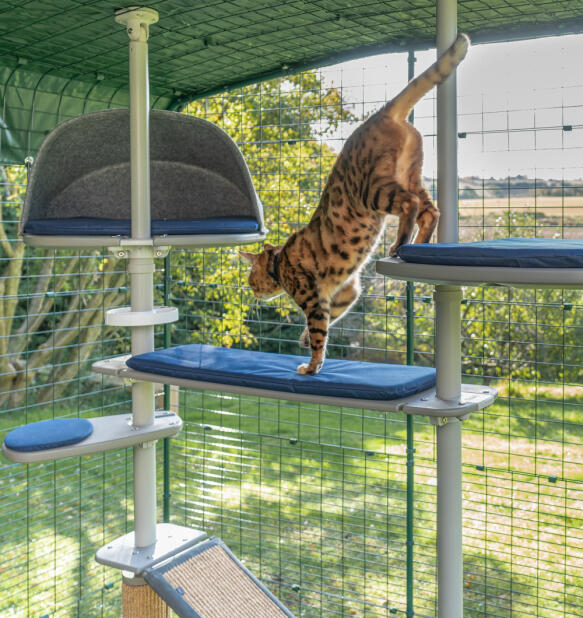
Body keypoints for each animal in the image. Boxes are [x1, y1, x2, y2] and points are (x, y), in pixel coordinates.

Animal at [241, 33, 470, 376]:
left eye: (250, 279)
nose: (253, 292)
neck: (281, 261)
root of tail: (379, 114)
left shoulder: (313, 297)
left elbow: (320, 332)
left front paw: (311, 366)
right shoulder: (344, 292)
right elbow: (327, 322)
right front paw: (304, 340)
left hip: (372, 190)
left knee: (411, 204)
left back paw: (400, 244)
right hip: (411, 173)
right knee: (431, 209)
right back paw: (419, 244)